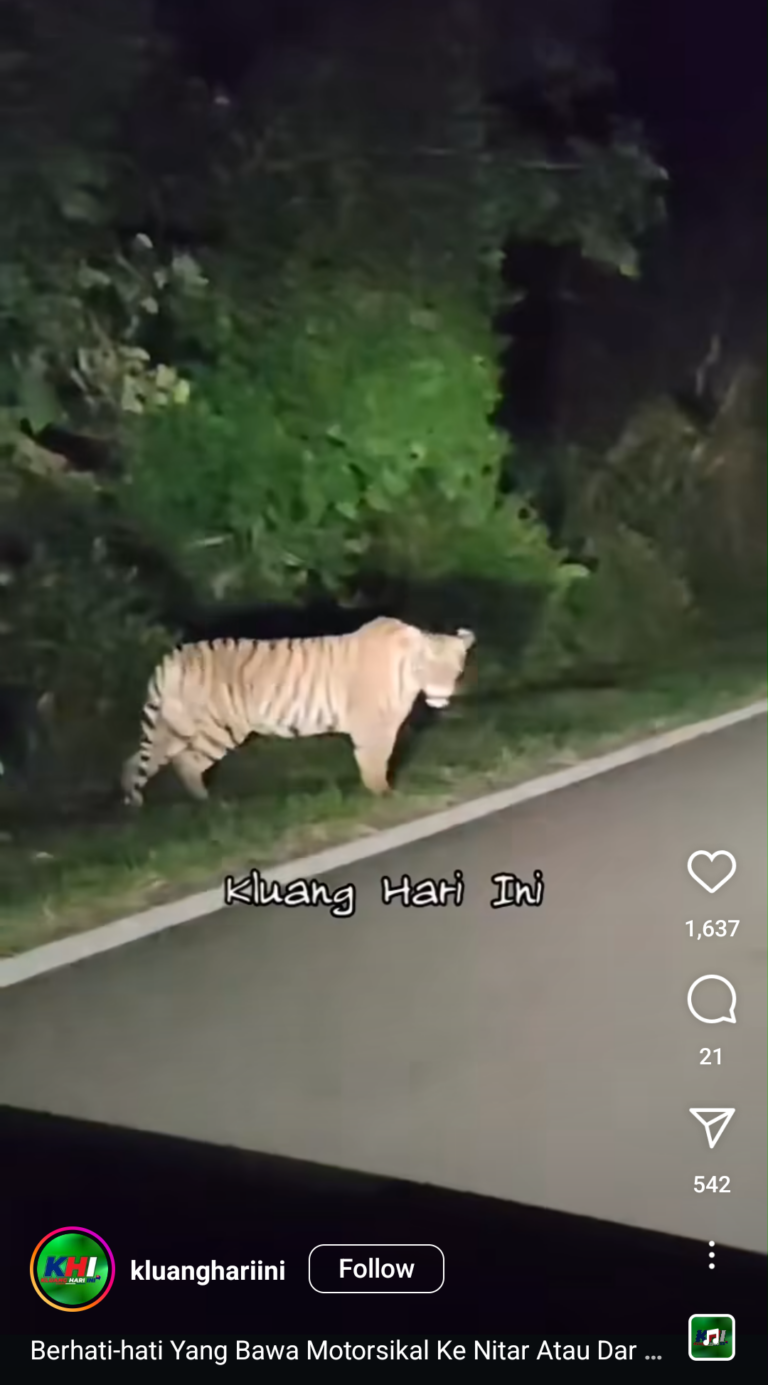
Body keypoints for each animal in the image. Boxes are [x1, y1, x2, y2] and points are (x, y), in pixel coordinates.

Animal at [120, 617, 476, 806]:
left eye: (455, 668)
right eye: (427, 667)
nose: (441, 695)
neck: (406, 669)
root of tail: (170, 658)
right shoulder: (373, 726)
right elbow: (375, 760)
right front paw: (382, 793)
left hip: (173, 725)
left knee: (138, 762)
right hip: (216, 728)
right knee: (186, 762)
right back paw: (211, 806)